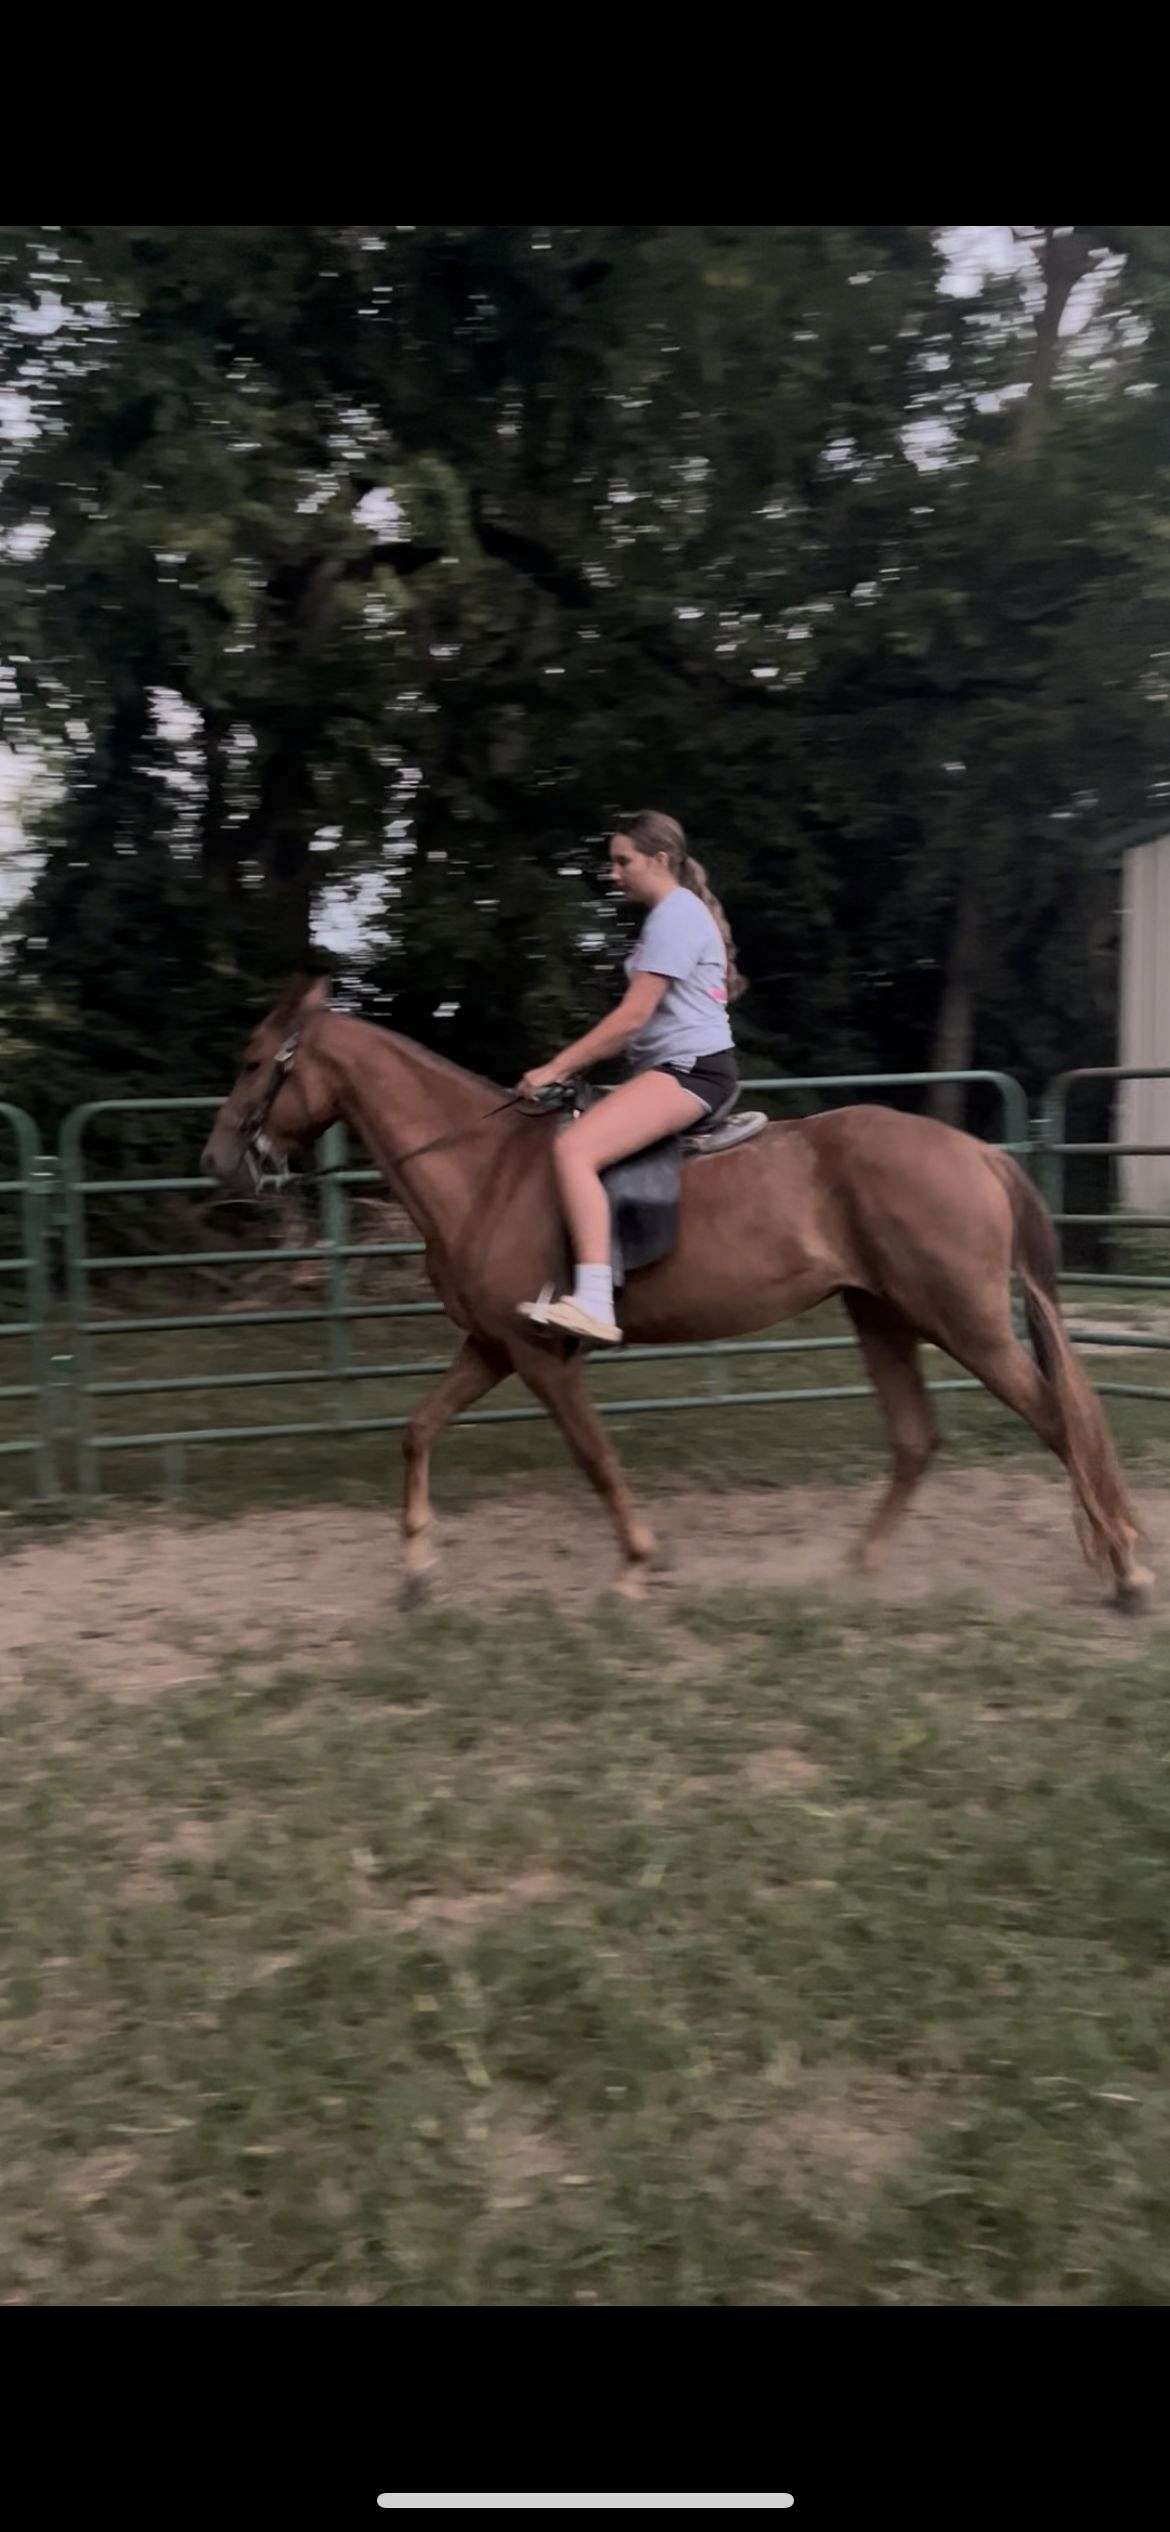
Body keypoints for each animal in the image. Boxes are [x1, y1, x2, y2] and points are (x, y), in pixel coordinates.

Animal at [201, 976, 1153, 1613]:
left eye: (252, 1063)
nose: (219, 1161)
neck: (484, 1173)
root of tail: (979, 1153)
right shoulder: (493, 1346)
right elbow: (418, 1428)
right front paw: (414, 1569)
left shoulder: (541, 1358)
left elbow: (594, 1457)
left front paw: (634, 1563)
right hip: (883, 1315)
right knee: (918, 1439)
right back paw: (858, 1567)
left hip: (965, 1322)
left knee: (1060, 1421)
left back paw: (1129, 1572)